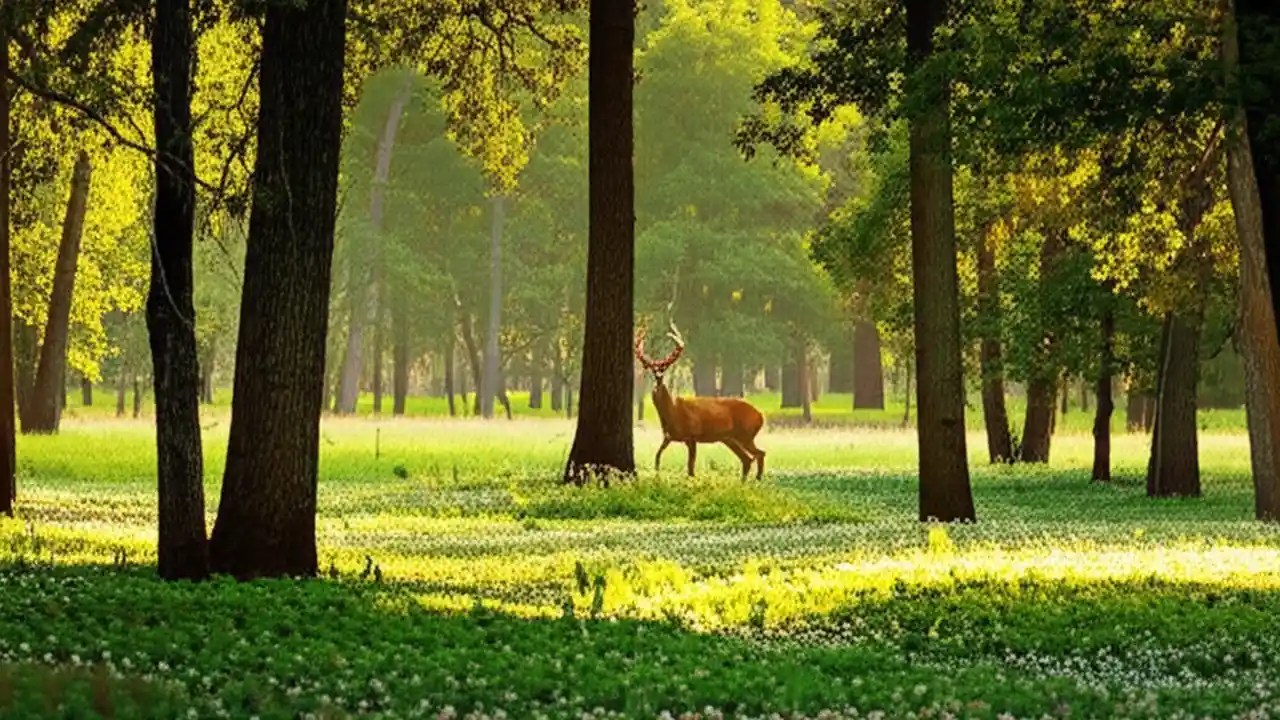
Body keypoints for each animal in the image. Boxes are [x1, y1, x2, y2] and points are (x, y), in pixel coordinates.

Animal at [634, 322, 766, 481]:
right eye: (652, 371)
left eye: (664, 369)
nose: (658, 379)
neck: (673, 414)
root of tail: (760, 416)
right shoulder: (668, 437)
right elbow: (657, 457)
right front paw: (656, 475)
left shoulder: (692, 435)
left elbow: (690, 467)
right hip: (729, 438)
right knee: (747, 459)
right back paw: (744, 481)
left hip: (746, 434)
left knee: (760, 453)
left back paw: (757, 479)